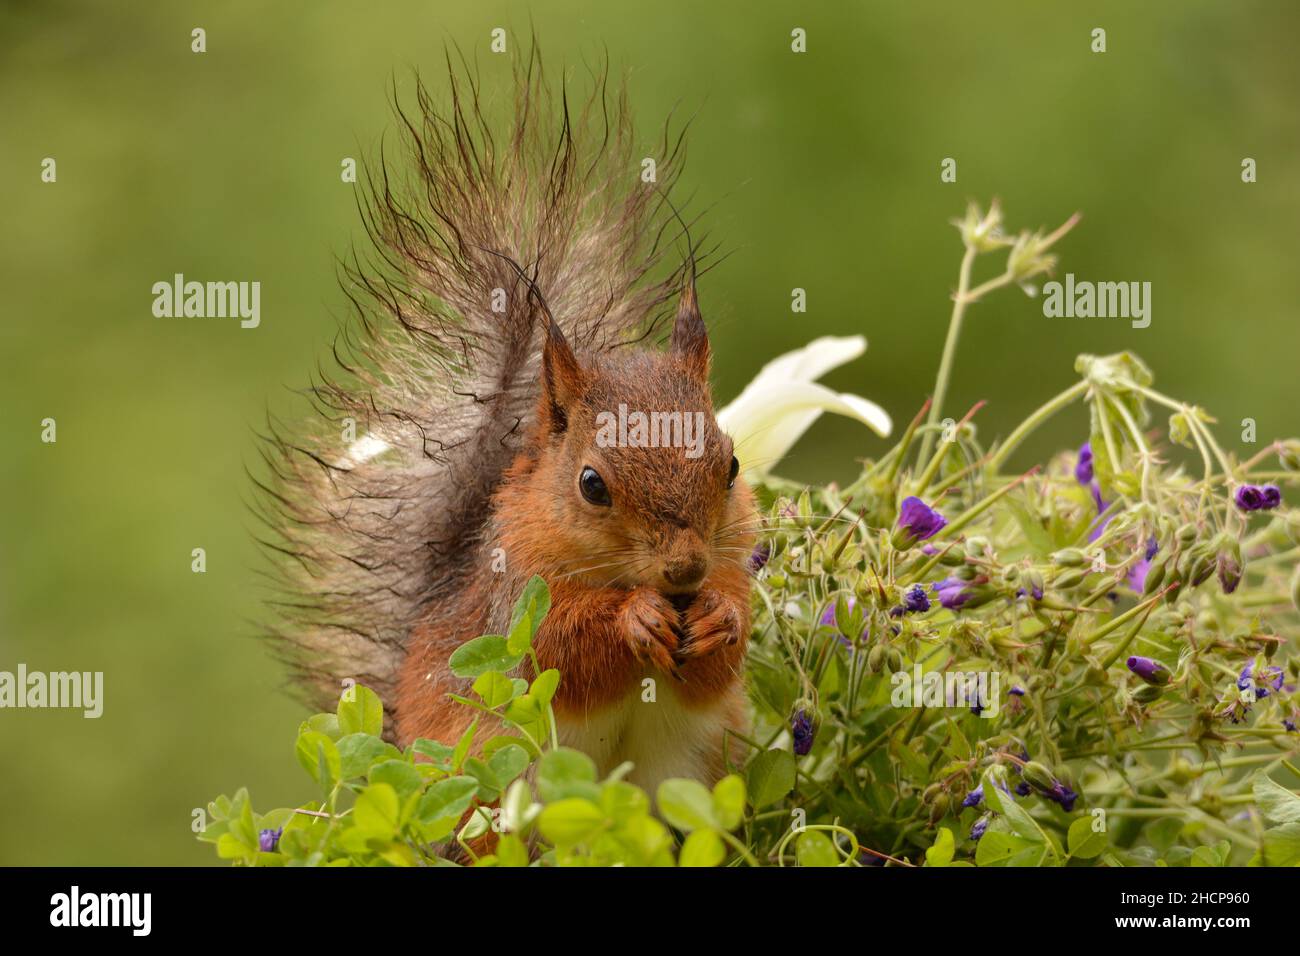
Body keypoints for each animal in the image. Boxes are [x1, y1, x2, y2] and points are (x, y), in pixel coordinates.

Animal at [259, 50, 758, 793]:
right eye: (591, 484)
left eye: (731, 465)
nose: (685, 567)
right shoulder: (513, 596)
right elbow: (562, 650)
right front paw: (632, 617)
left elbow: (722, 658)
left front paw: (720, 618)